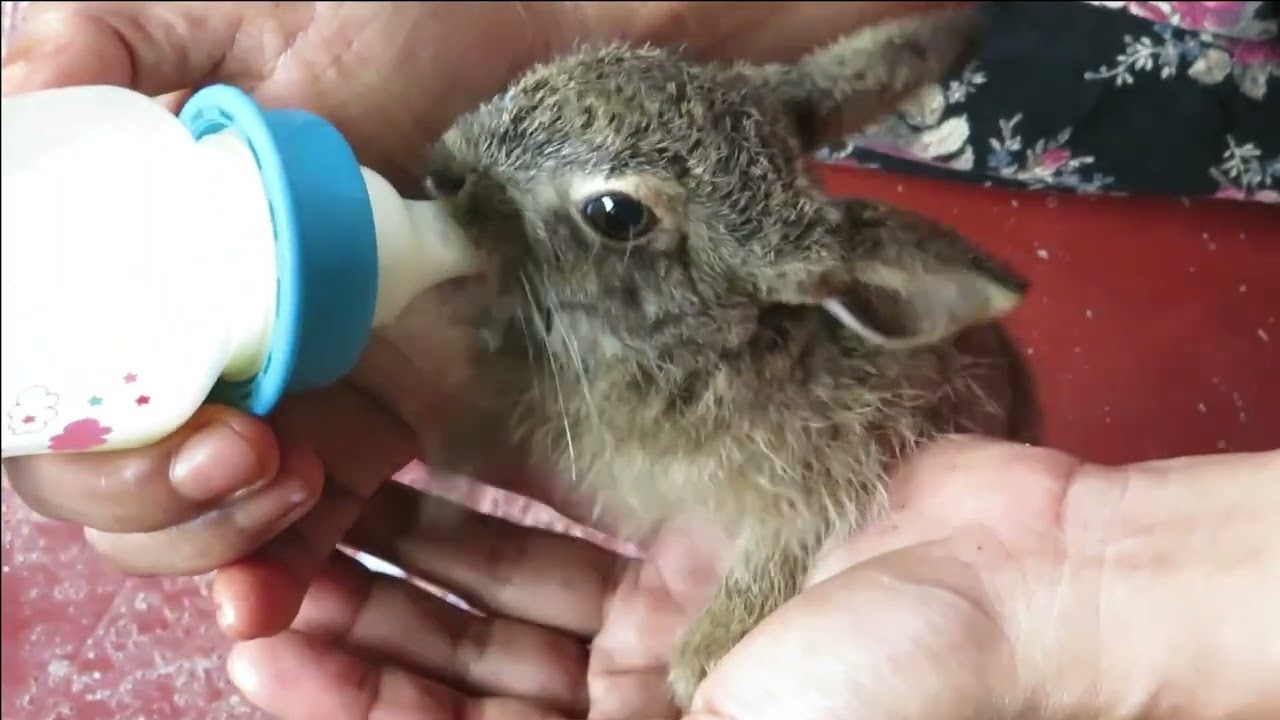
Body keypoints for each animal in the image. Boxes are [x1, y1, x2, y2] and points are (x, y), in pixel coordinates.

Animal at [393, 6, 1032, 709]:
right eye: (576, 62)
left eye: (616, 213)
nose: (444, 167)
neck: (703, 343)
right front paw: (443, 495)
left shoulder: (835, 467)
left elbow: (786, 544)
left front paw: (700, 657)